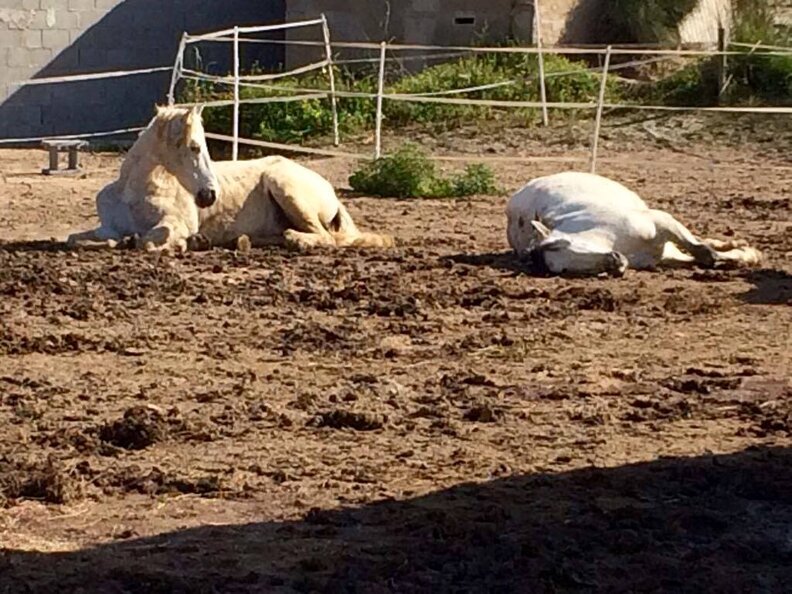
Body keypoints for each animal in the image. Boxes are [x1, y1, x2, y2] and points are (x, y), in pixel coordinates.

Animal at [67, 105, 393, 252]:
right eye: (194, 147)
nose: (209, 195)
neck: (133, 194)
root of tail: (329, 188)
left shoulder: (176, 222)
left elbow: (148, 241)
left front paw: (180, 244)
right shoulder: (106, 226)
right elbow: (77, 239)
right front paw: (119, 240)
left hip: (284, 187)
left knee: (325, 237)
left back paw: (296, 240)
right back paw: (242, 240)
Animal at [506, 171, 762, 277]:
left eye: (561, 245)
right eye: (564, 270)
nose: (615, 261)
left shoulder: (662, 221)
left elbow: (703, 252)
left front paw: (747, 255)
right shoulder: (663, 256)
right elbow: (700, 256)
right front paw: (744, 256)